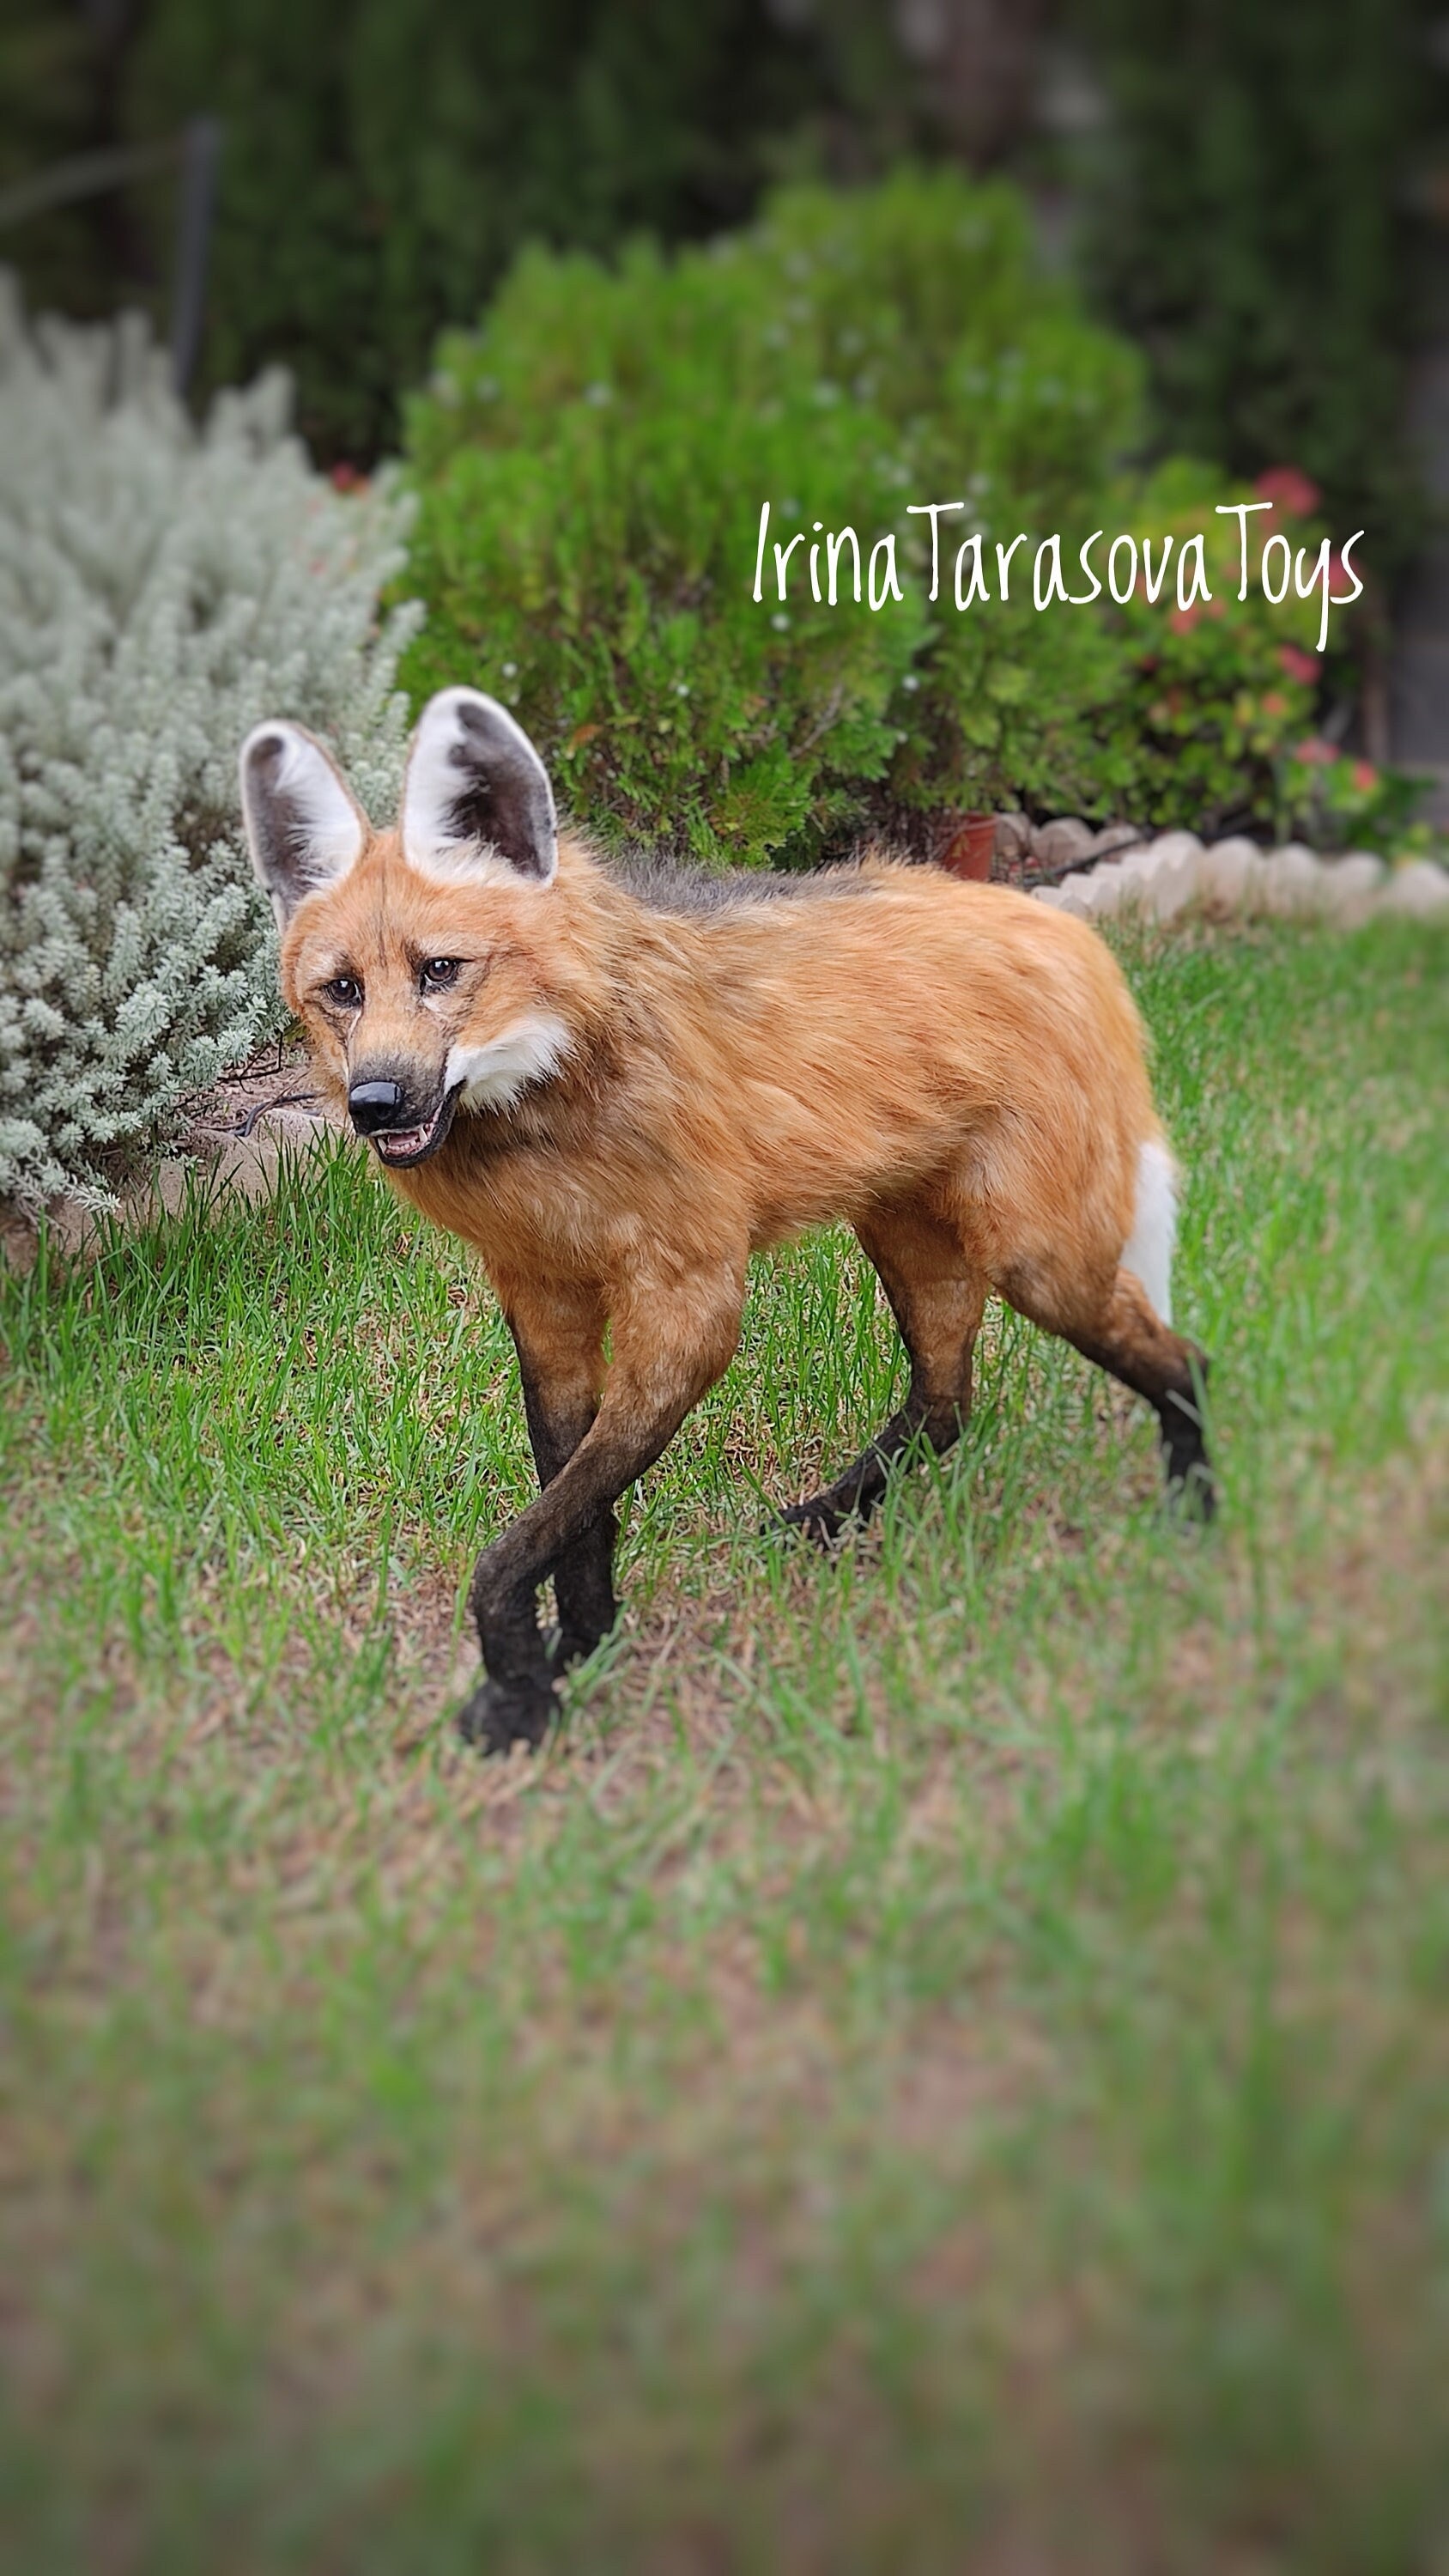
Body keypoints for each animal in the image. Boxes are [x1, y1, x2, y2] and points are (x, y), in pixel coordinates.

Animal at [240, 686, 1212, 1753]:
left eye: (440, 971)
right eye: (342, 991)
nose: (374, 1104)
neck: (551, 1107)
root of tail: (1065, 931)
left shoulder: (688, 1307)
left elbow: (514, 1550)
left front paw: (517, 1690)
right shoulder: (545, 1295)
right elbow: (572, 1518)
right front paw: (581, 1648)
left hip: (1035, 1261)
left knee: (1180, 1360)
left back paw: (1192, 1513)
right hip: (905, 1236)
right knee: (947, 1402)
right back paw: (828, 1517)